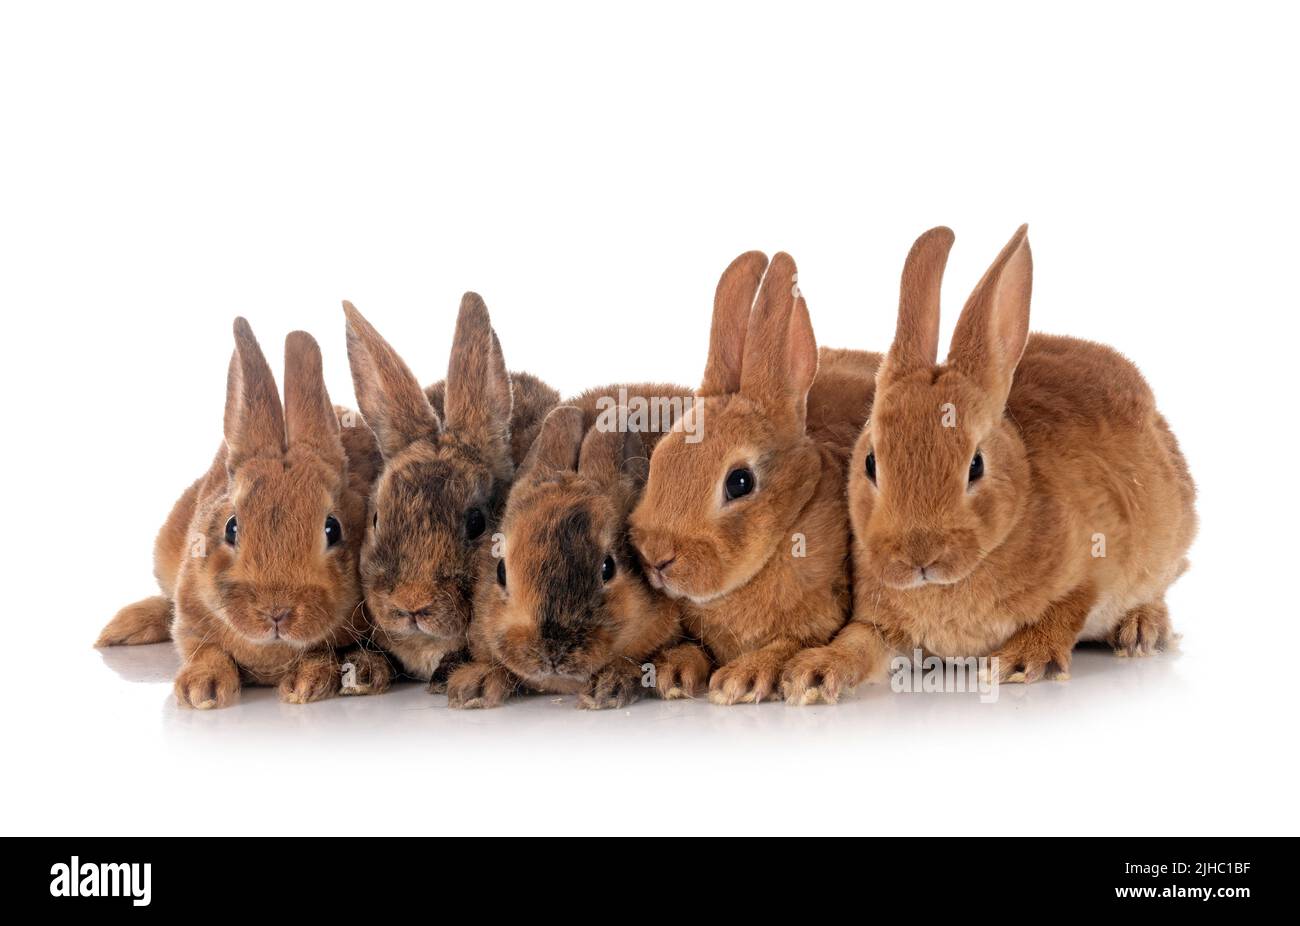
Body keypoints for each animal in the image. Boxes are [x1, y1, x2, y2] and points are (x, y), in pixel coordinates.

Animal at [96, 319, 392, 708]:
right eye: (231, 527)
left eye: (333, 529)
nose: (276, 612)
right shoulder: (191, 618)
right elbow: (205, 649)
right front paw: (202, 690)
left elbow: (321, 653)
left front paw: (305, 684)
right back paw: (122, 628)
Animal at [627, 252, 881, 704]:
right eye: (659, 459)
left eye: (740, 482)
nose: (656, 557)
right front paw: (674, 671)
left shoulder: (821, 617)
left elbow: (787, 645)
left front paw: (741, 678)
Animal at [781, 226, 1198, 704]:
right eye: (870, 463)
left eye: (976, 465)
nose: (918, 556)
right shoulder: (883, 627)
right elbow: (858, 642)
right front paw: (813, 673)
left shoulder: (1097, 561)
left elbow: (1066, 609)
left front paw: (1020, 660)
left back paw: (1143, 628)